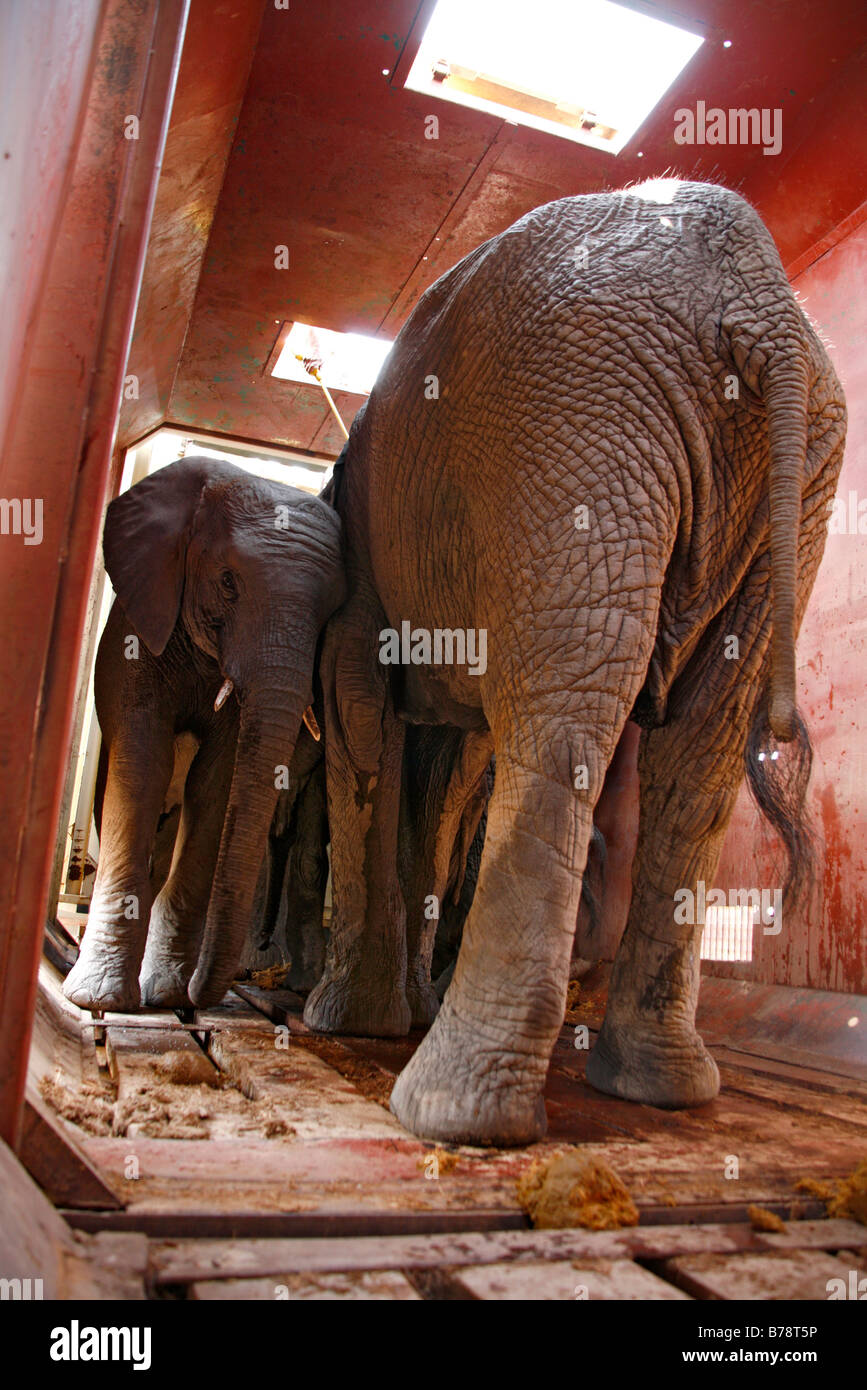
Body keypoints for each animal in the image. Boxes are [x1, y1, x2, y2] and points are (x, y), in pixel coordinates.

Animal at [63, 456, 344, 1012]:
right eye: (228, 582)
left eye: (328, 617)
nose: (200, 993)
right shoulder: (136, 630)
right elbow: (143, 763)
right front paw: (99, 1000)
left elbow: (215, 782)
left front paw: (167, 991)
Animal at [303, 178, 847, 1146]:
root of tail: (758, 295)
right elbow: (449, 771)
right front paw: (389, 1010)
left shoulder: (362, 580)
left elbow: (361, 716)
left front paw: (347, 1023)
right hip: (758, 470)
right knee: (700, 752)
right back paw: (657, 1088)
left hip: (570, 420)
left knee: (564, 714)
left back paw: (454, 1115)